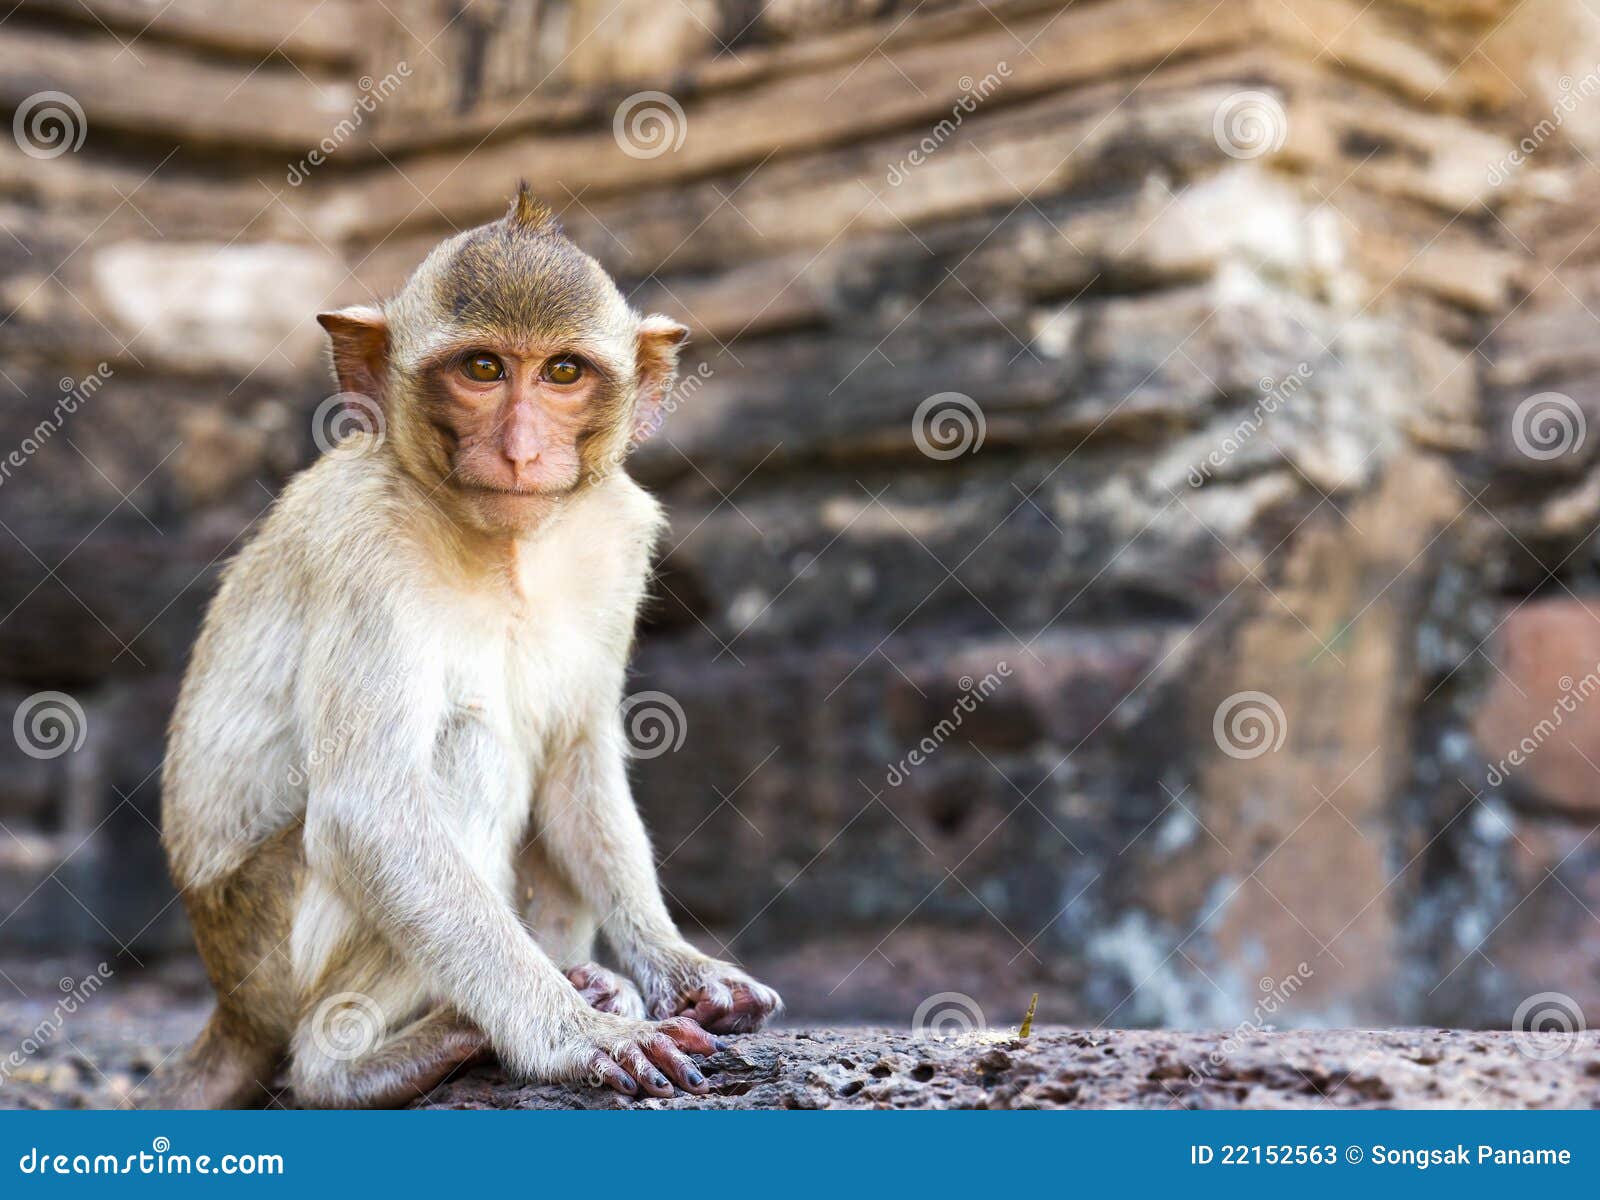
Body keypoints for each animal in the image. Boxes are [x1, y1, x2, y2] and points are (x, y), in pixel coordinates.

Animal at [146, 184, 781, 1109]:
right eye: (481, 369)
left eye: (562, 372)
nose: (520, 450)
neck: (505, 549)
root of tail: (230, 1002)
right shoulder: (364, 547)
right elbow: (370, 808)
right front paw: (577, 1037)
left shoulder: (618, 539)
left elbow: (574, 761)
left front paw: (684, 969)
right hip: (272, 944)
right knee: (469, 751)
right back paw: (368, 1061)